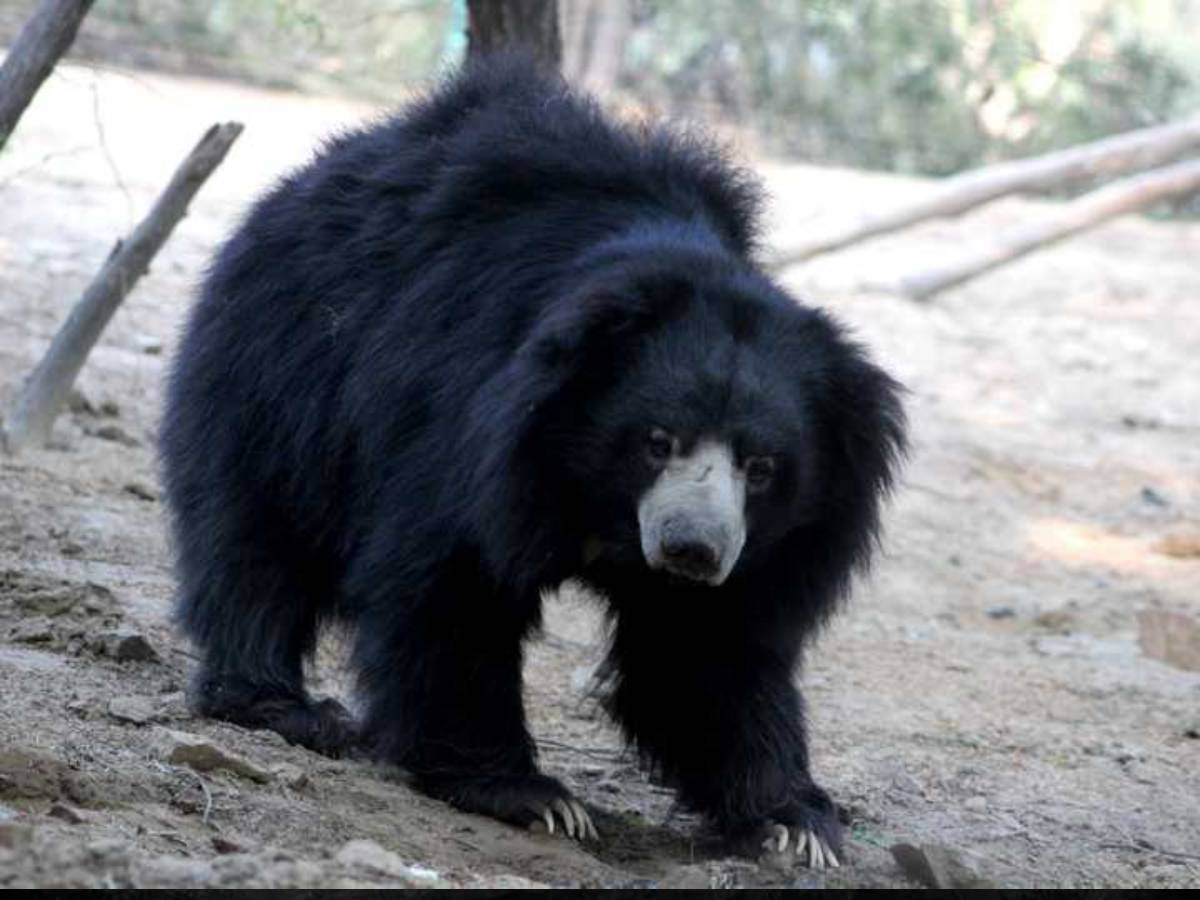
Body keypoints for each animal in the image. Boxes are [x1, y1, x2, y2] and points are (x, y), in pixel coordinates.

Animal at [159, 56, 906, 867]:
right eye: (657, 440)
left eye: (762, 464)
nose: (691, 550)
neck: (593, 501)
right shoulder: (470, 422)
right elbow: (452, 581)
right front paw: (532, 796)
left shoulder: (772, 546)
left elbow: (709, 646)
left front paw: (794, 821)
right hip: (280, 370)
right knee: (255, 537)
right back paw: (281, 704)